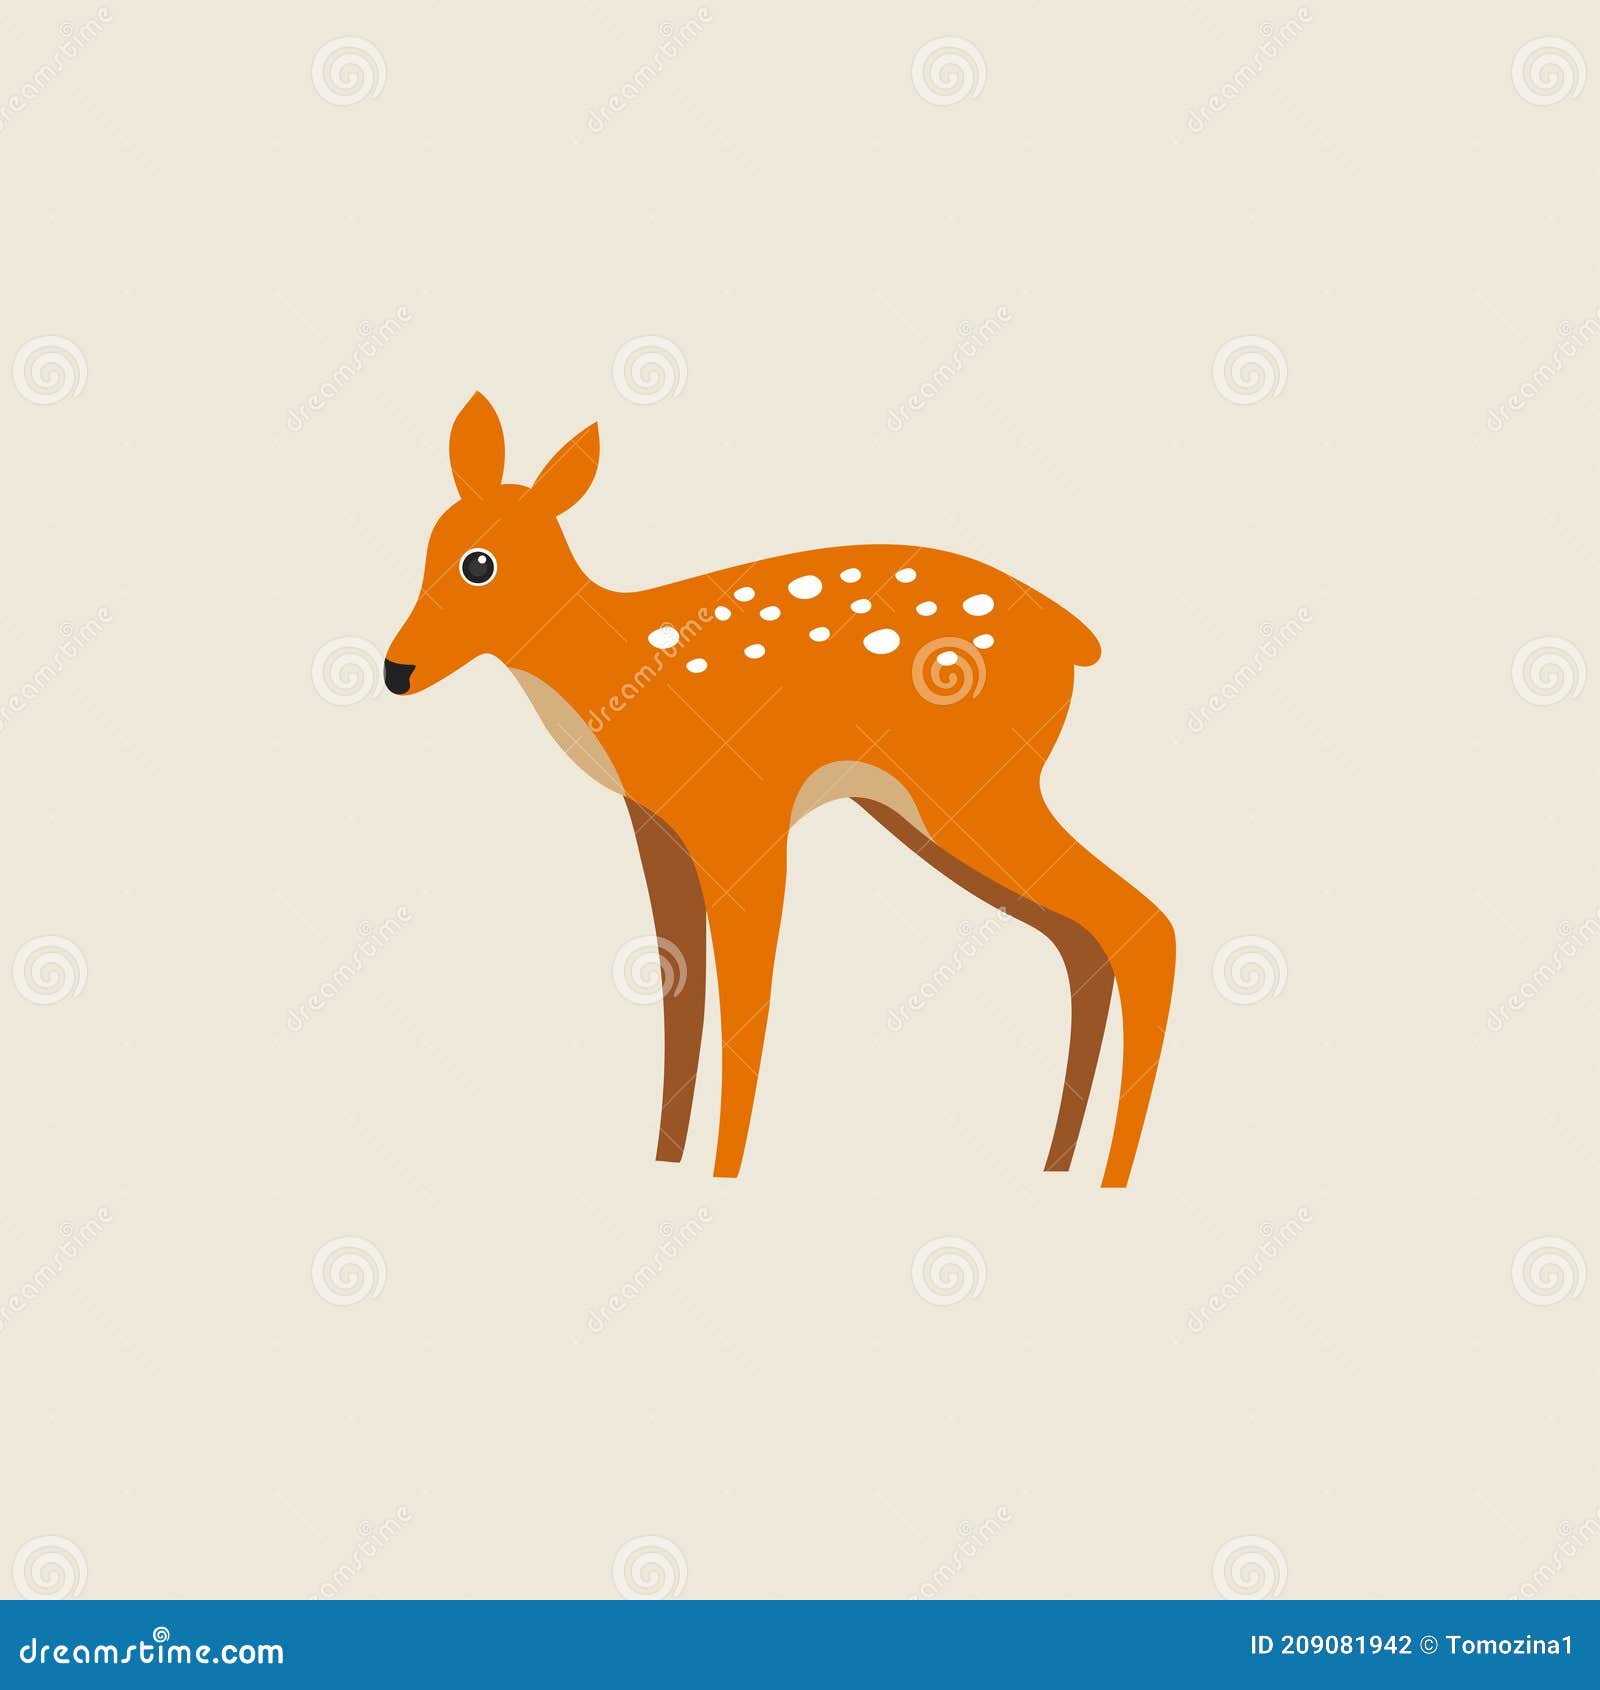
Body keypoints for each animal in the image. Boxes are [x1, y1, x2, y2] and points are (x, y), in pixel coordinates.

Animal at [384, 394, 1175, 1183]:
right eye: (427, 549)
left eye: (478, 564)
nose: (396, 670)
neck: (613, 670)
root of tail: (1079, 641)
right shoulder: (658, 824)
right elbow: (678, 986)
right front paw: (666, 1162)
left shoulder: (742, 814)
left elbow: (747, 1005)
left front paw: (722, 1172)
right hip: (938, 803)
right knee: (1082, 939)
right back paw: (1060, 1166)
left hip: (973, 784)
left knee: (1141, 924)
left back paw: (1109, 1174)